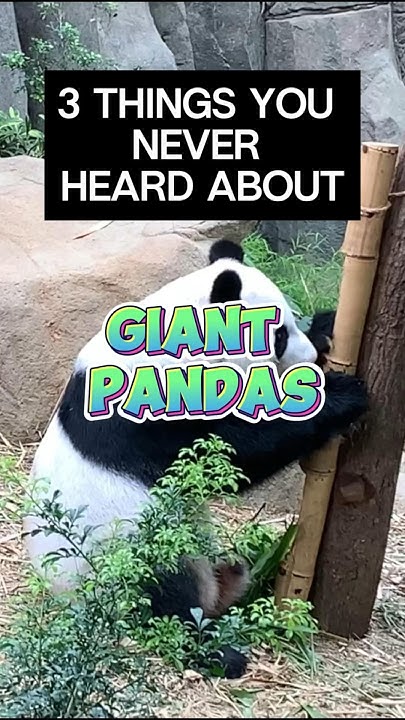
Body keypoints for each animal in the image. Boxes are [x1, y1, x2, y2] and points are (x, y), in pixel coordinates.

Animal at [23, 239, 368, 679]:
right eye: (277, 336)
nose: (307, 356)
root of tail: (68, 605)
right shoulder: (146, 411)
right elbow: (229, 458)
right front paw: (338, 395)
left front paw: (325, 328)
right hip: (126, 557)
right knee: (165, 591)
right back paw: (215, 651)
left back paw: (237, 580)